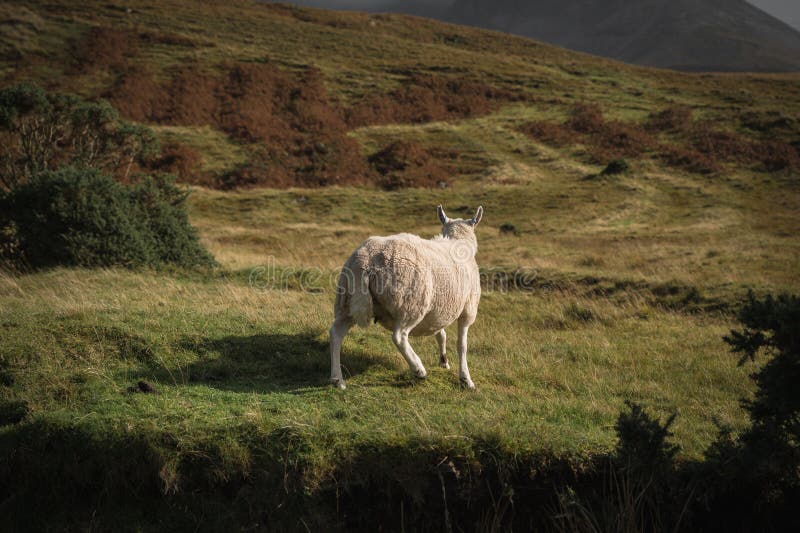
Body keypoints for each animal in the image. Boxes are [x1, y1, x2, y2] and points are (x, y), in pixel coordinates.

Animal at [329, 205, 483, 390]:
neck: (458, 241)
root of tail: (366, 261)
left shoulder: (438, 311)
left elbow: (441, 334)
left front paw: (443, 361)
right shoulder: (468, 310)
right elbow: (462, 345)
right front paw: (466, 379)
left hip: (345, 300)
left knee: (336, 333)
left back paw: (337, 379)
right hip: (411, 304)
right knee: (399, 336)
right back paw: (419, 370)